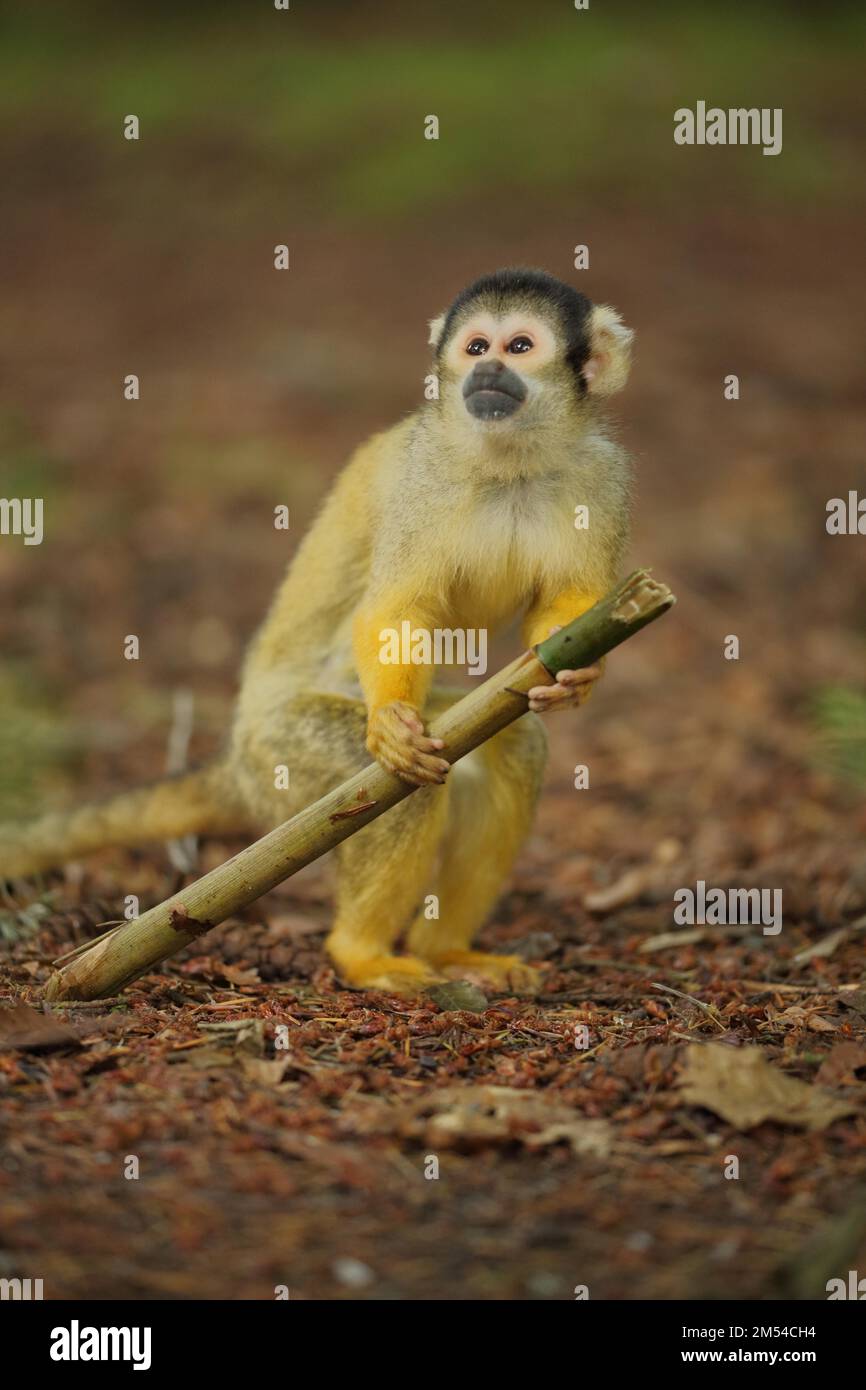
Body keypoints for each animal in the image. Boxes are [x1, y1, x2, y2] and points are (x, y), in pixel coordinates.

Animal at [0, 268, 633, 995]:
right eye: (477, 347)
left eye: (520, 346)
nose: (489, 371)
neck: (511, 459)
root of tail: (238, 760)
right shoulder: (425, 481)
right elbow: (396, 607)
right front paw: (390, 719)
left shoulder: (603, 478)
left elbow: (568, 607)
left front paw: (575, 676)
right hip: (283, 751)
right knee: (392, 789)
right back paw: (359, 952)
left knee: (513, 742)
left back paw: (447, 950)